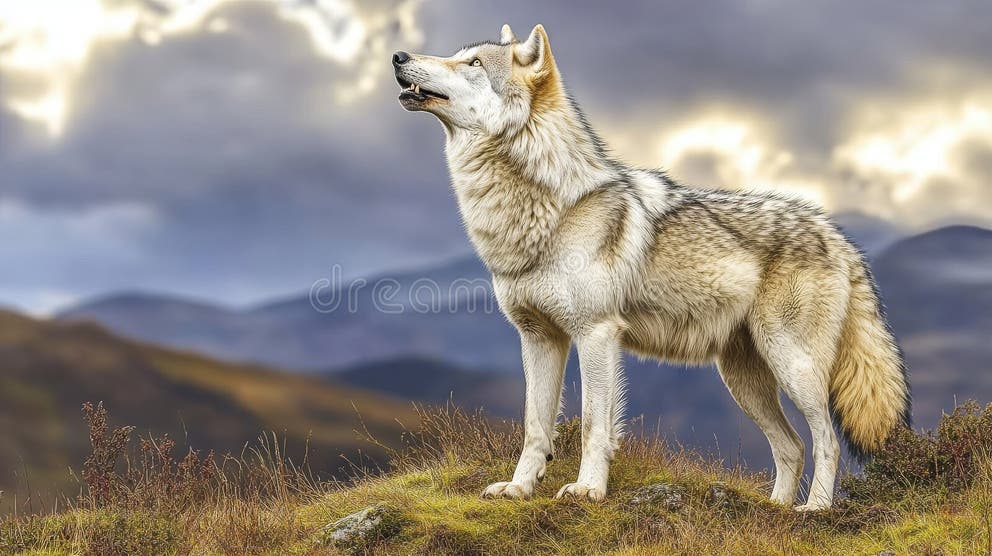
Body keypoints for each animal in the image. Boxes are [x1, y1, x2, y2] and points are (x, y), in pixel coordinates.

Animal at [392, 23, 910, 510]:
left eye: (473, 63)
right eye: (457, 56)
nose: (398, 56)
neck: (547, 209)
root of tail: (839, 237)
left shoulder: (596, 334)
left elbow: (592, 425)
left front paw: (587, 490)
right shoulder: (538, 338)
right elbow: (535, 426)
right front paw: (519, 489)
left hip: (793, 367)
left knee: (825, 441)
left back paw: (814, 510)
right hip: (743, 380)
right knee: (792, 446)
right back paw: (777, 509)